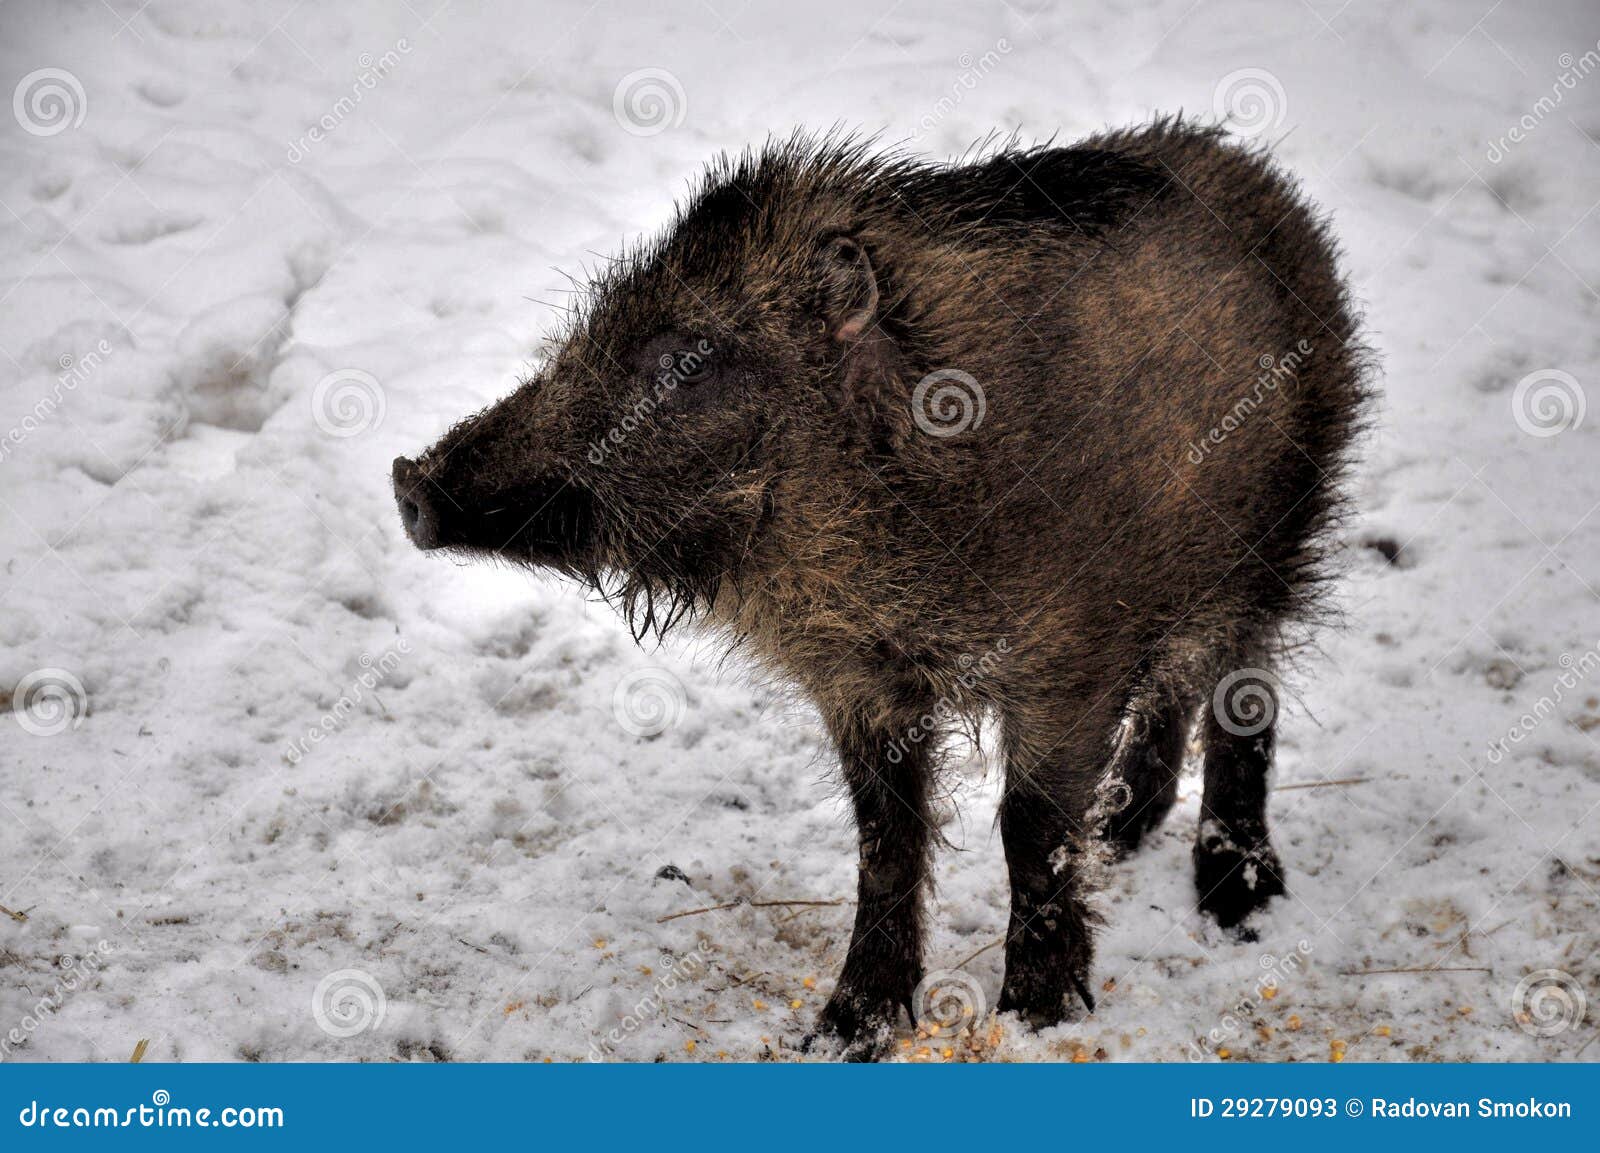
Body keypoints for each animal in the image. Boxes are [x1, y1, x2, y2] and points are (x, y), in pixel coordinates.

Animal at [392, 119, 1372, 1060]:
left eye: (684, 360)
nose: (409, 480)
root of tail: (1255, 176)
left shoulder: (1068, 656)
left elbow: (1031, 827)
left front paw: (1037, 1015)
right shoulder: (861, 677)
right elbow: (885, 836)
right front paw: (841, 1033)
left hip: (1283, 529)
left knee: (1242, 686)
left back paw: (1240, 897)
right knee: (1176, 680)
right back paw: (1125, 831)